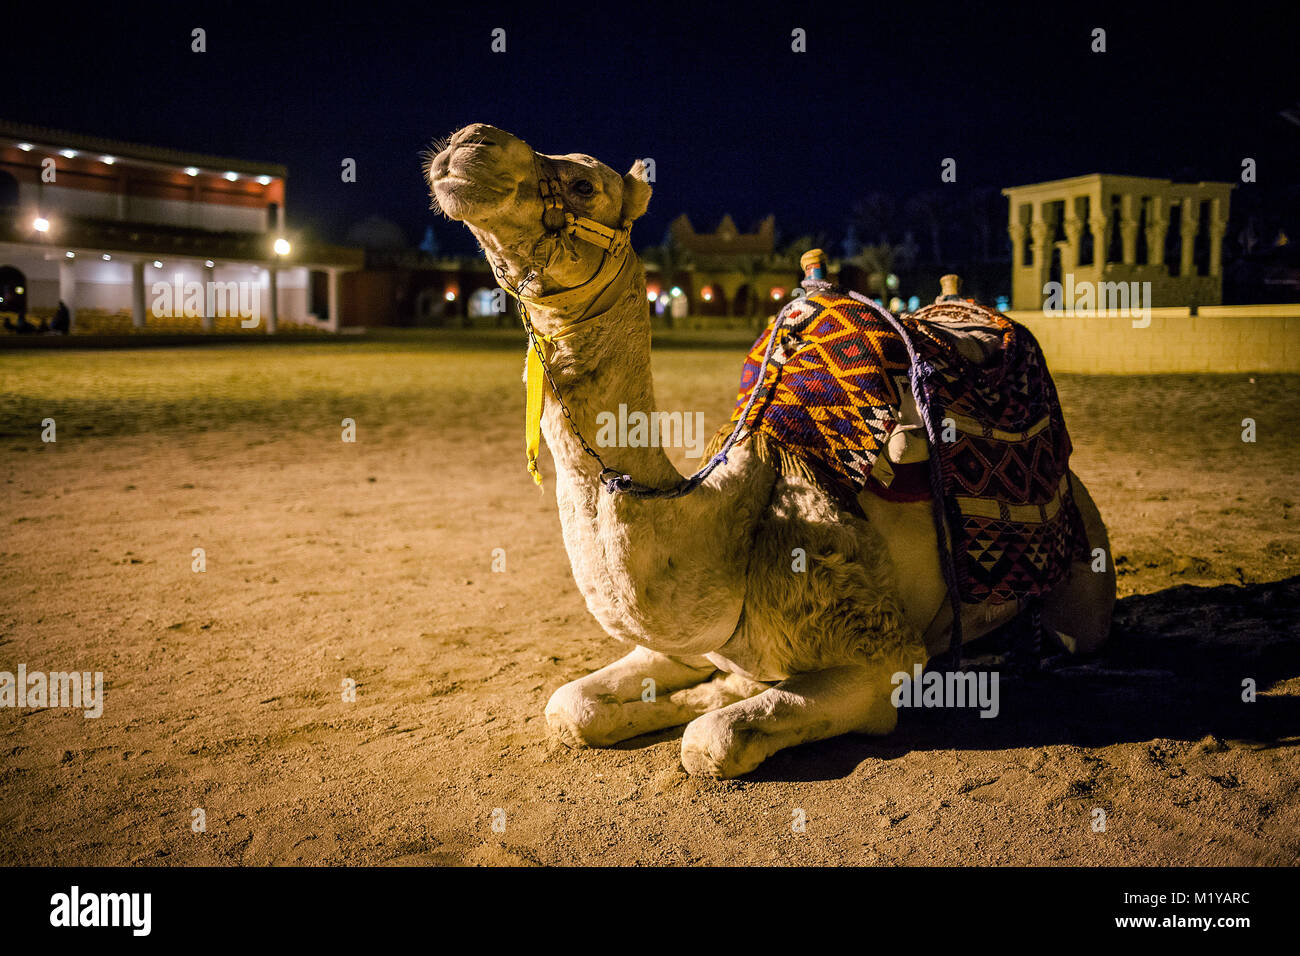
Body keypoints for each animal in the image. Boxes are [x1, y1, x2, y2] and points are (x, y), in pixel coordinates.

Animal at [427, 124, 1116, 778]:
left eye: (584, 185)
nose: (469, 143)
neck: (726, 523)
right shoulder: (682, 642)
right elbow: (571, 706)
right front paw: (715, 689)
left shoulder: (882, 661)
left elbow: (712, 742)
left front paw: (720, 704)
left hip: (1085, 585)